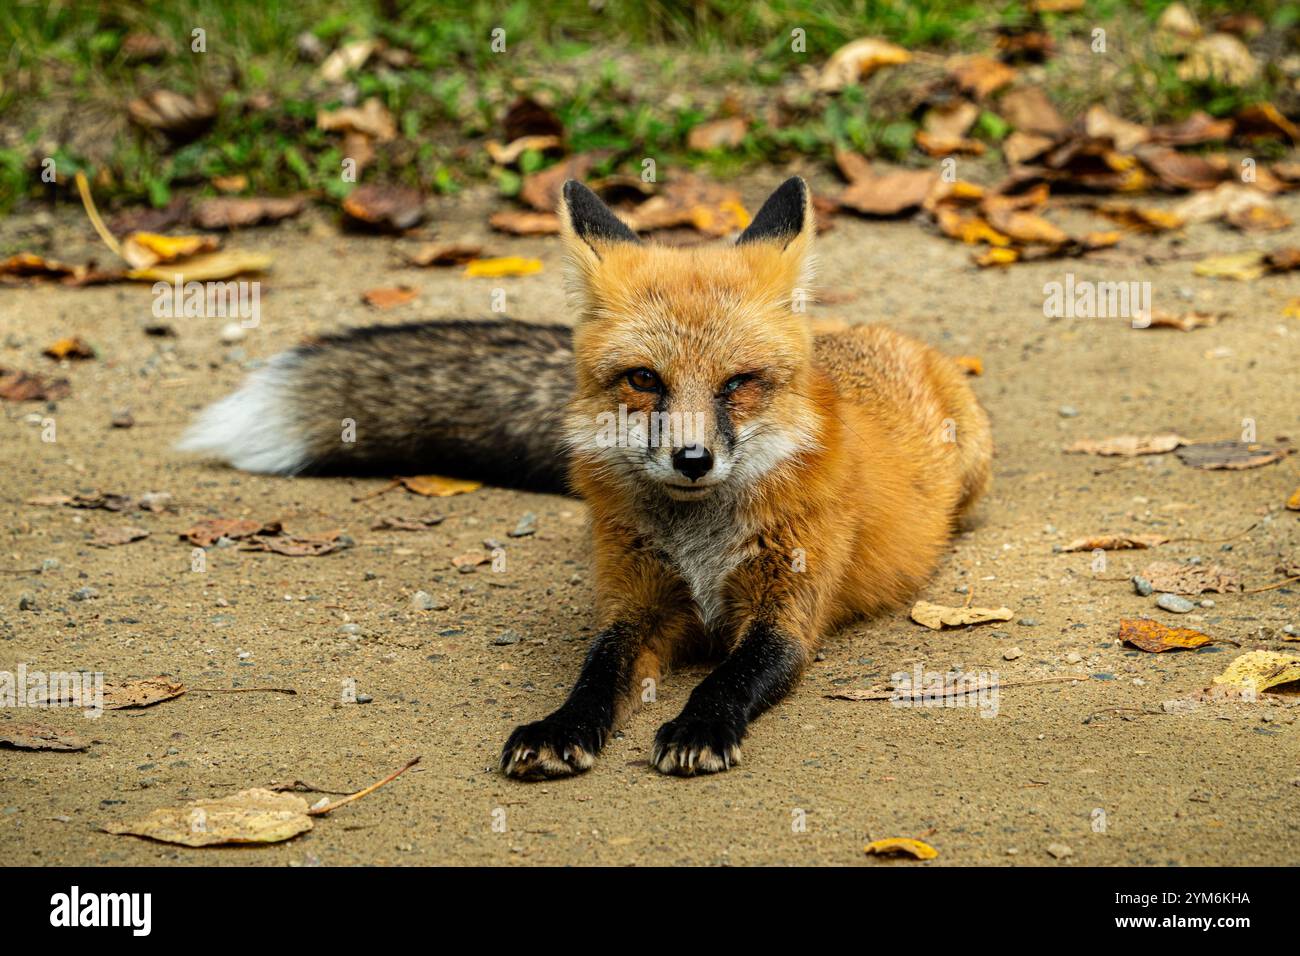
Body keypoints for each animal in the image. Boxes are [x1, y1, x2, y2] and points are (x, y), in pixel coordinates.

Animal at [179, 176, 992, 779]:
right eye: (644, 379)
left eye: (737, 384)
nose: (692, 460)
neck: (698, 540)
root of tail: (869, 336)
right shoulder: (636, 602)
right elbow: (597, 669)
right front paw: (562, 727)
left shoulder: (788, 612)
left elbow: (730, 677)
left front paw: (698, 726)